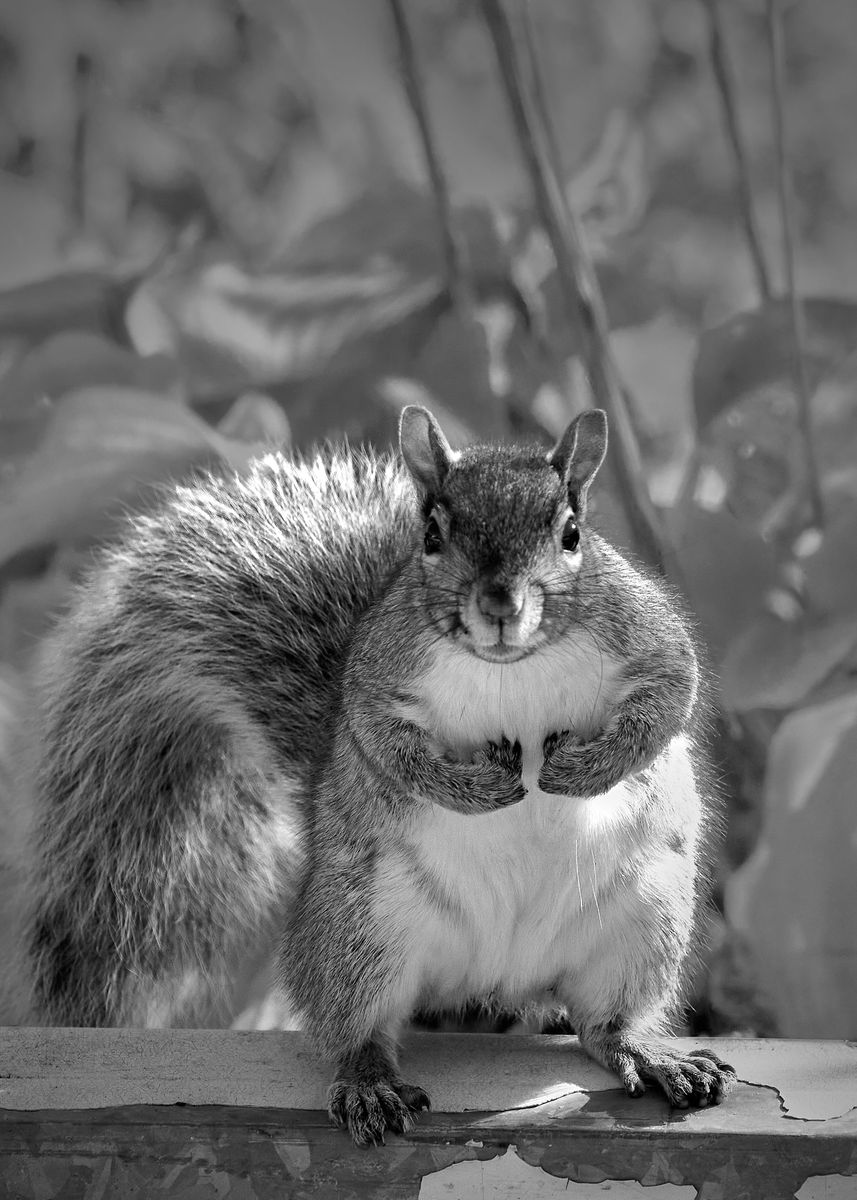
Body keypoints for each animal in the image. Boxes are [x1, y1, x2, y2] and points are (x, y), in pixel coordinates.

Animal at [24, 404, 735, 1143]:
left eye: (571, 533)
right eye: (432, 533)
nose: (500, 603)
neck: (510, 666)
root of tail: (493, 984)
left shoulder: (648, 634)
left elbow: (670, 696)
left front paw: (585, 769)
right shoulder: (372, 677)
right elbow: (387, 744)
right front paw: (473, 789)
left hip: (643, 917)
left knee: (606, 1023)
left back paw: (650, 1054)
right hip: (360, 931)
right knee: (354, 1029)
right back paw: (368, 1083)